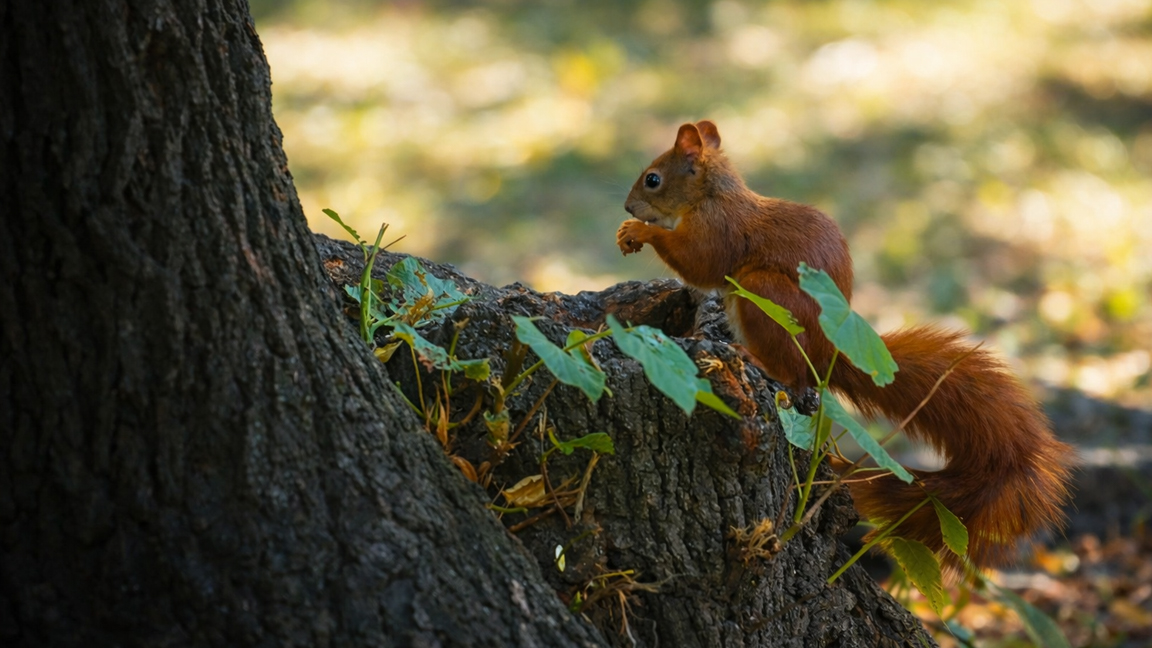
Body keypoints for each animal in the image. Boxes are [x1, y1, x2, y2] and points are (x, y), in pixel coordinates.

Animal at [616, 120, 1074, 570]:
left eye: (653, 179)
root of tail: (827, 357)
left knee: (792, 373)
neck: (713, 194)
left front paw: (639, 231)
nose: (628, 208)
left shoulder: (719, 229)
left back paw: (754, 357)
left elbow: (699, 262)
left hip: (763, 294)